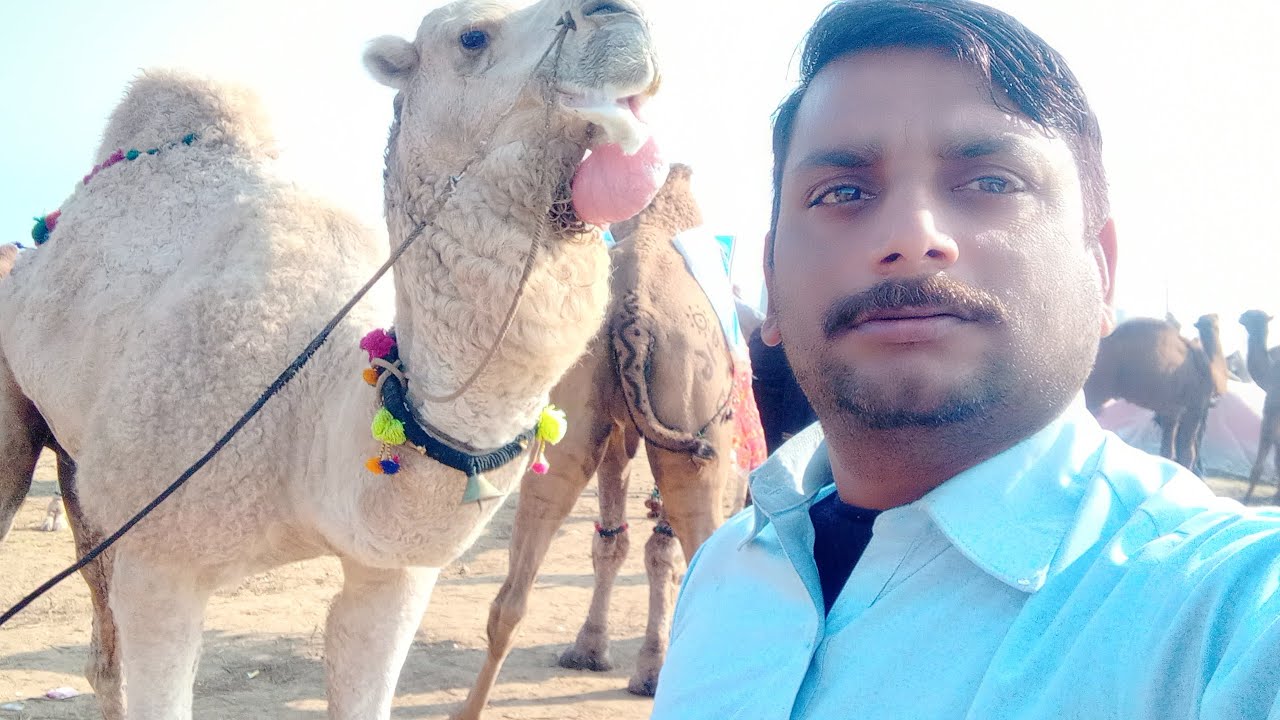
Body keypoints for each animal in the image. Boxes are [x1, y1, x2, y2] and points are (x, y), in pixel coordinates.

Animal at [452, 164, 765, 718]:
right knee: (697, 528)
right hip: (695, 411)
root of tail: (634, 305)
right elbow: (660, 549)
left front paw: (590, 651)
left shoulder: (616, 428)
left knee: (521, 570)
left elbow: (614, 540)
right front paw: (648, 672)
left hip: (574, 399)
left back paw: (469, 707)